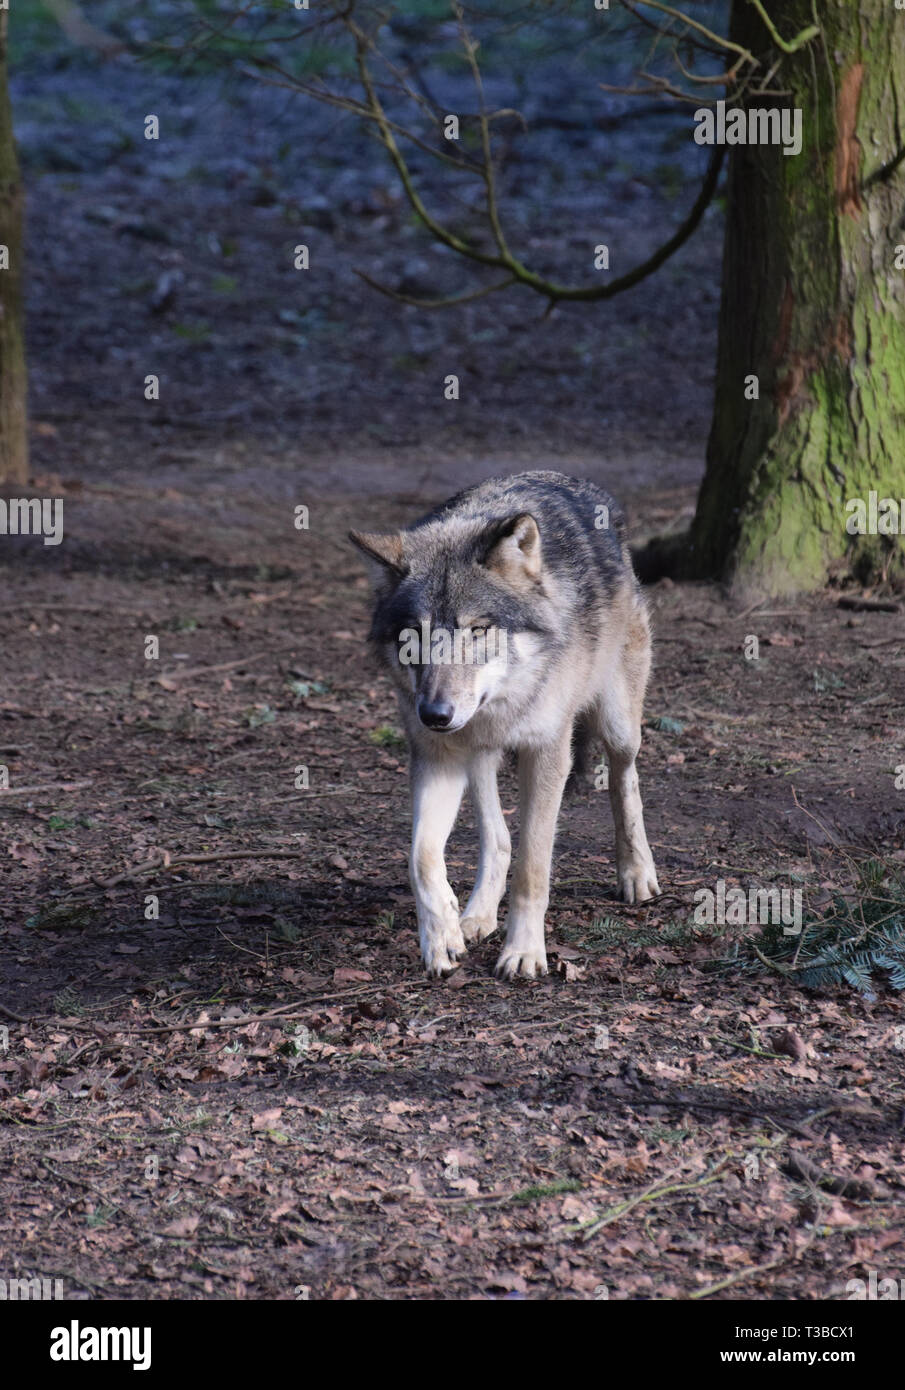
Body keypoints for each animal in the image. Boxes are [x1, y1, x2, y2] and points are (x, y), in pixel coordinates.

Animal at [350, 471, 659, 980]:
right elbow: (421, 857)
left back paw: (636, 873)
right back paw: (476, 915)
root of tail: (577, 480)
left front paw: (524, 952)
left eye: (477, 630)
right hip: (476, 758)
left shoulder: (548, 752)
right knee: (497, 837)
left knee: (624, 779)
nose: (434, 715)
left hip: (618, 725)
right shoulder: (436, 756)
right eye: (413, 635)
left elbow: (533, 867)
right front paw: (442, 935)